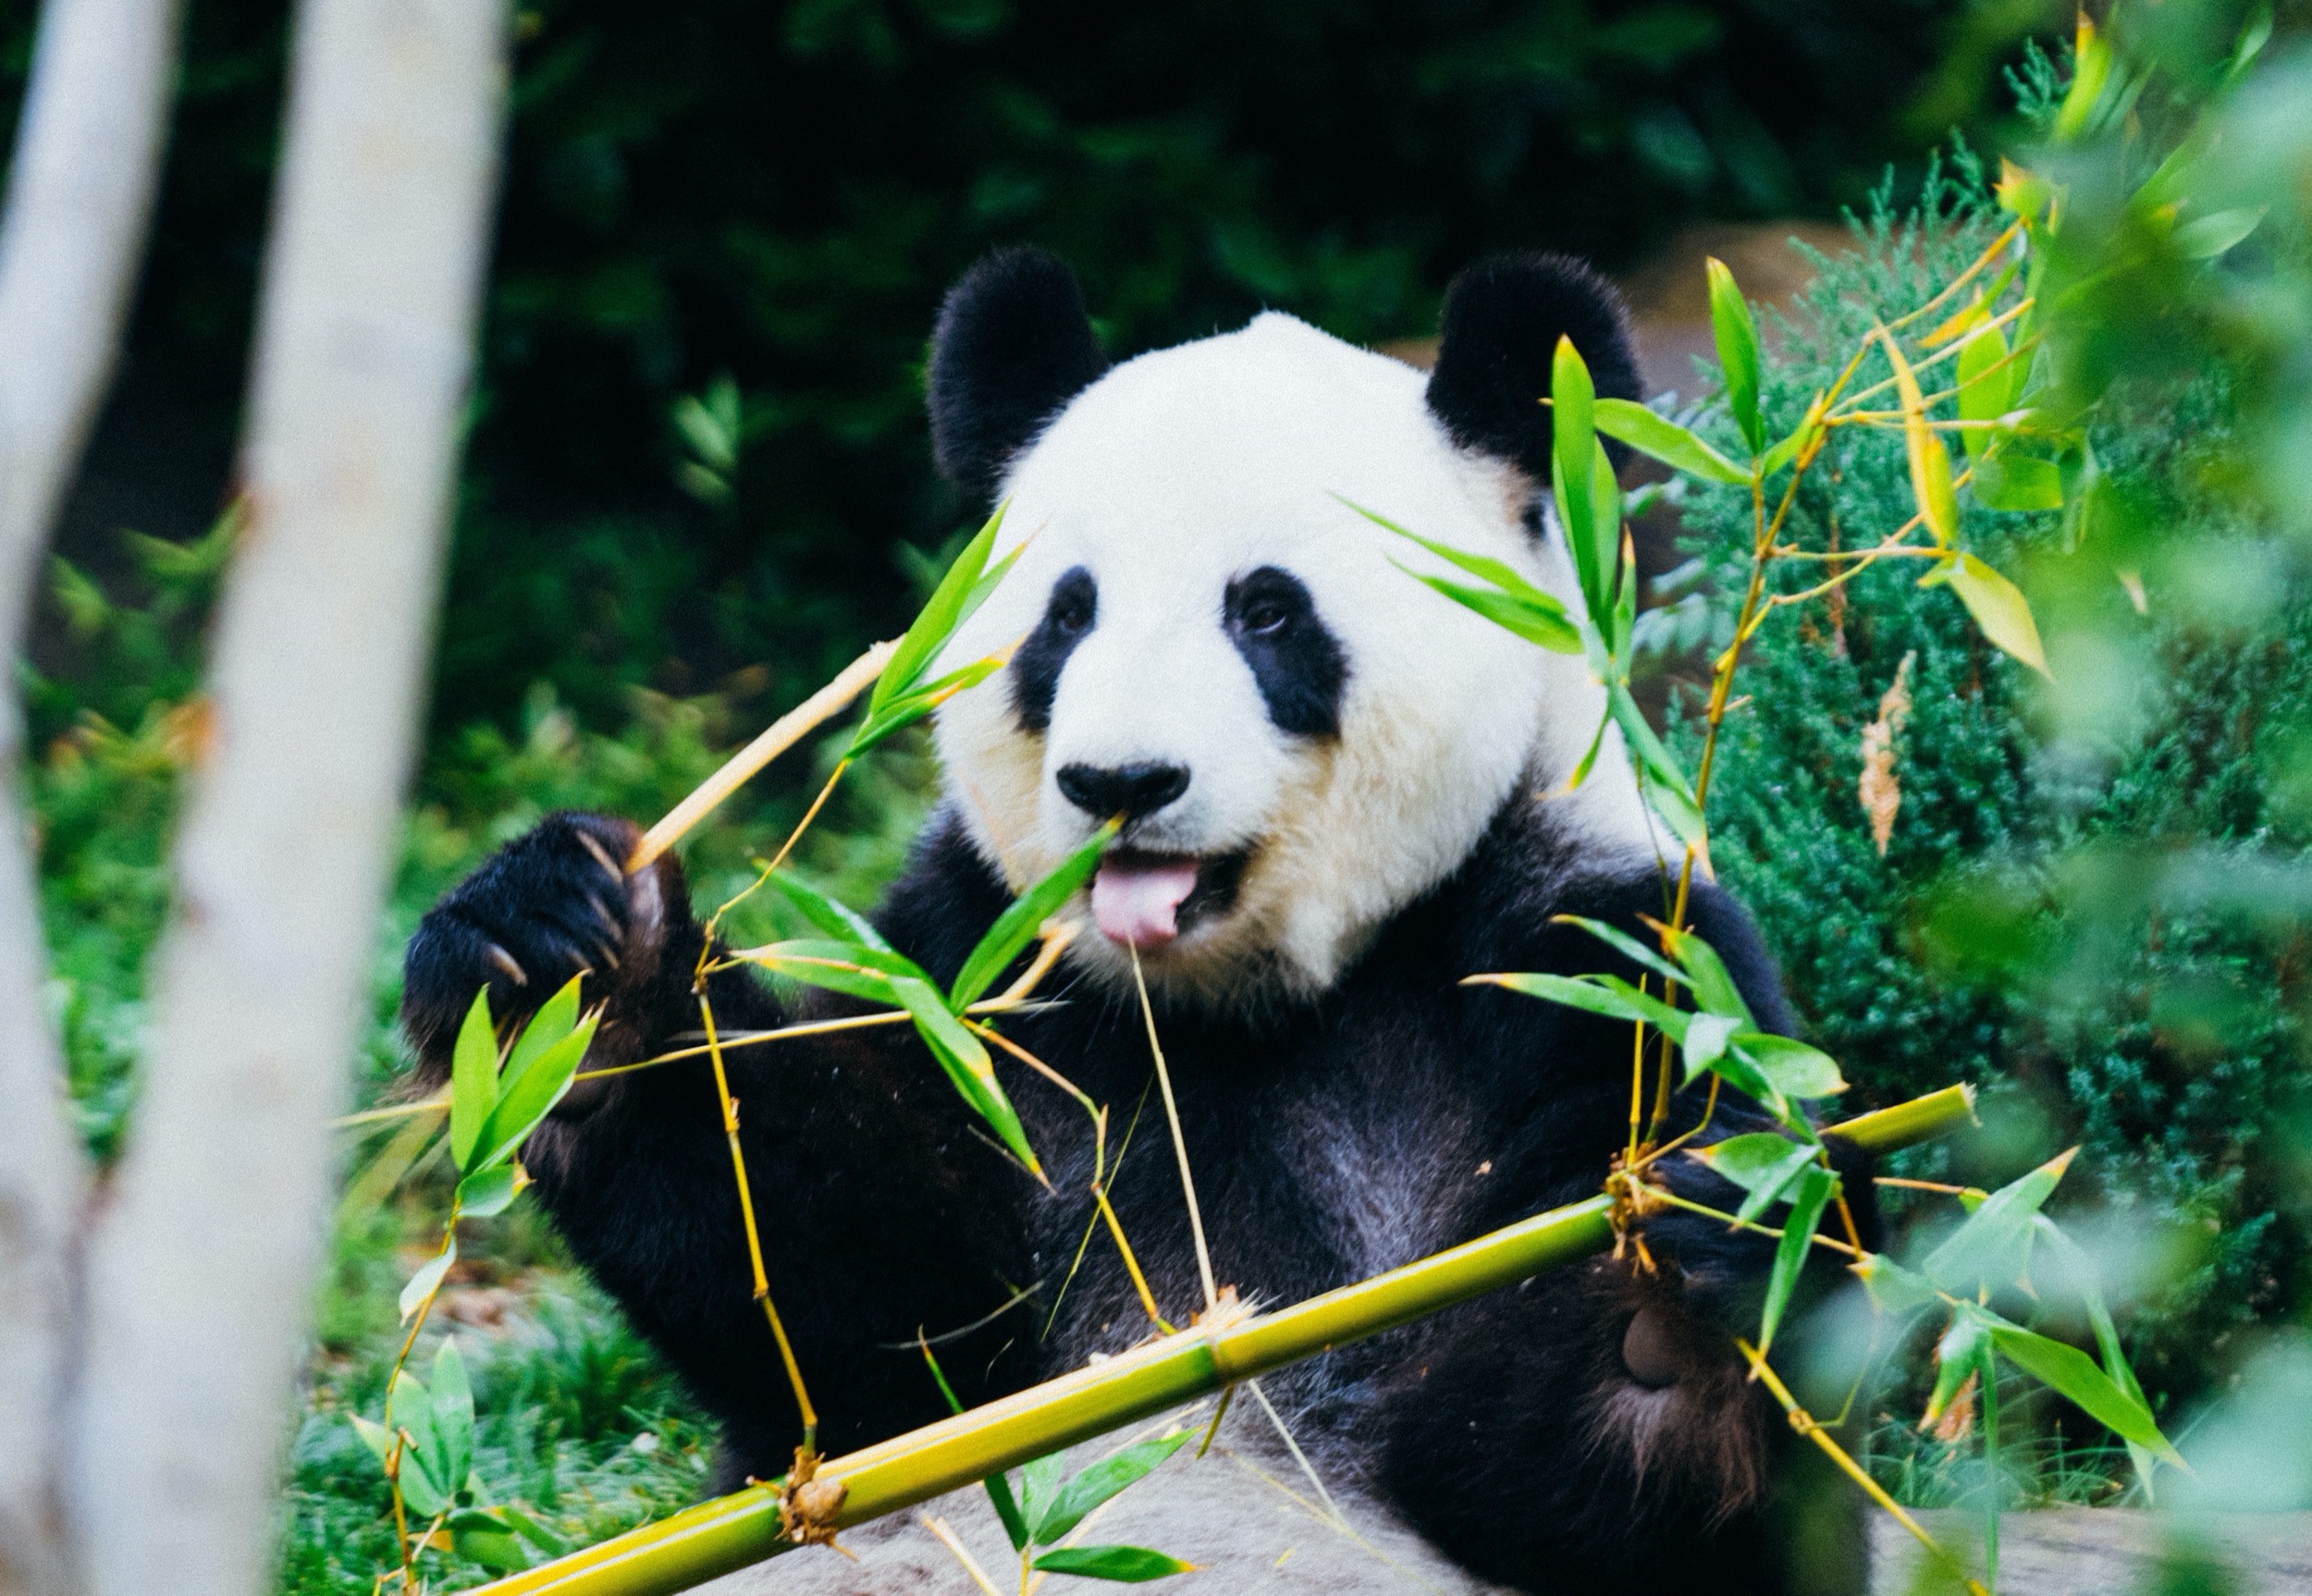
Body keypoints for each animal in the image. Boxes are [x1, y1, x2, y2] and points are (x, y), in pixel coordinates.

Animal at [401, 248, 1876, 1595]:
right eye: (1067, 615)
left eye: (1267, 611)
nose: (1123, 783)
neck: (1243, 999)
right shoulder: (987, 978)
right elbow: (869, 1329)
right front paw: (572, 976)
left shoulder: (1595, 956)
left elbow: (1588, 1492)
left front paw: (1665, 1305)